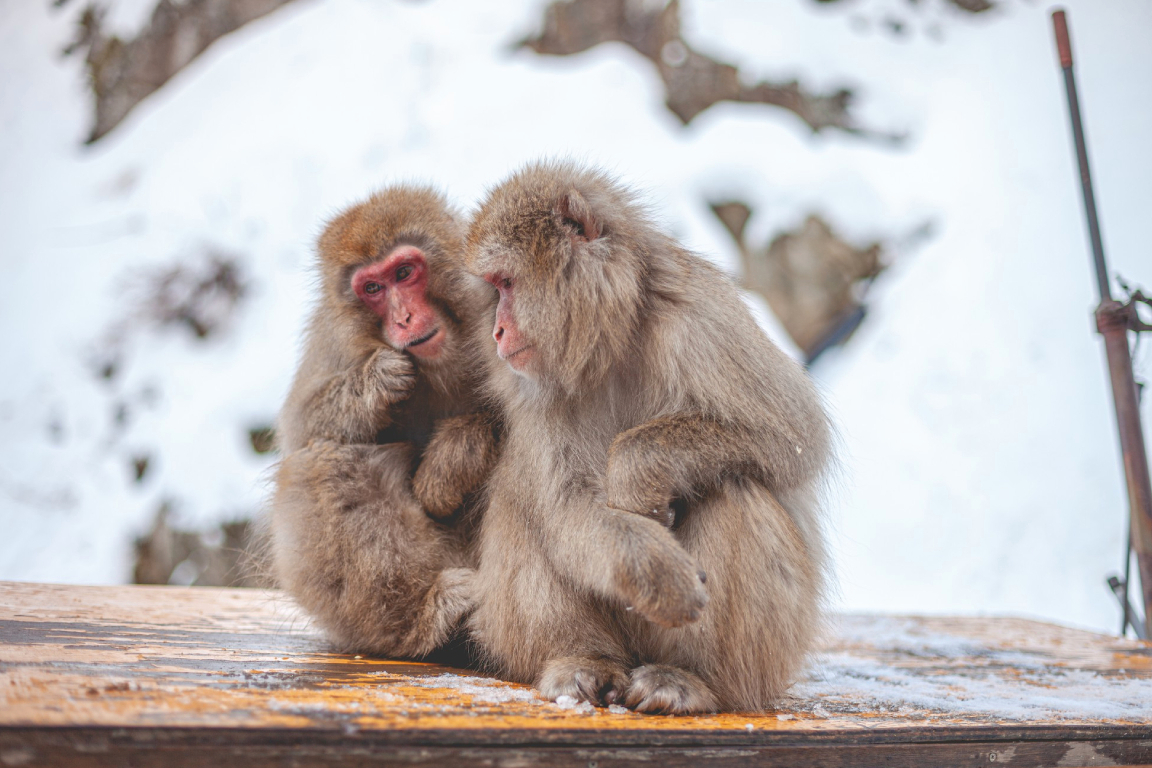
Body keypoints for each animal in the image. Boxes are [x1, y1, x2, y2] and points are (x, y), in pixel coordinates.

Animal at [267, 185, 498, 659]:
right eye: (373, 288)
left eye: (405, 272)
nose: (404, 318)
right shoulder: (333, 336)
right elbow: (300, 428)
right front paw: (376, 380)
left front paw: (451, 460)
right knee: (323, 463)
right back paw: (423, 621)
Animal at [461, 161, 832, 714]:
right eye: (493, 289)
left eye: (506, 282)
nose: (498, 332)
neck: (611, 342)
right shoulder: (534, 391)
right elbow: (567, 504)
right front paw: (655, 567)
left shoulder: (698, 314)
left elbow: (792, 431)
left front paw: (635, 477)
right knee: (524, 502)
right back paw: (582, 660)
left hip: (766, 655)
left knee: (733, 489)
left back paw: (687, 679)